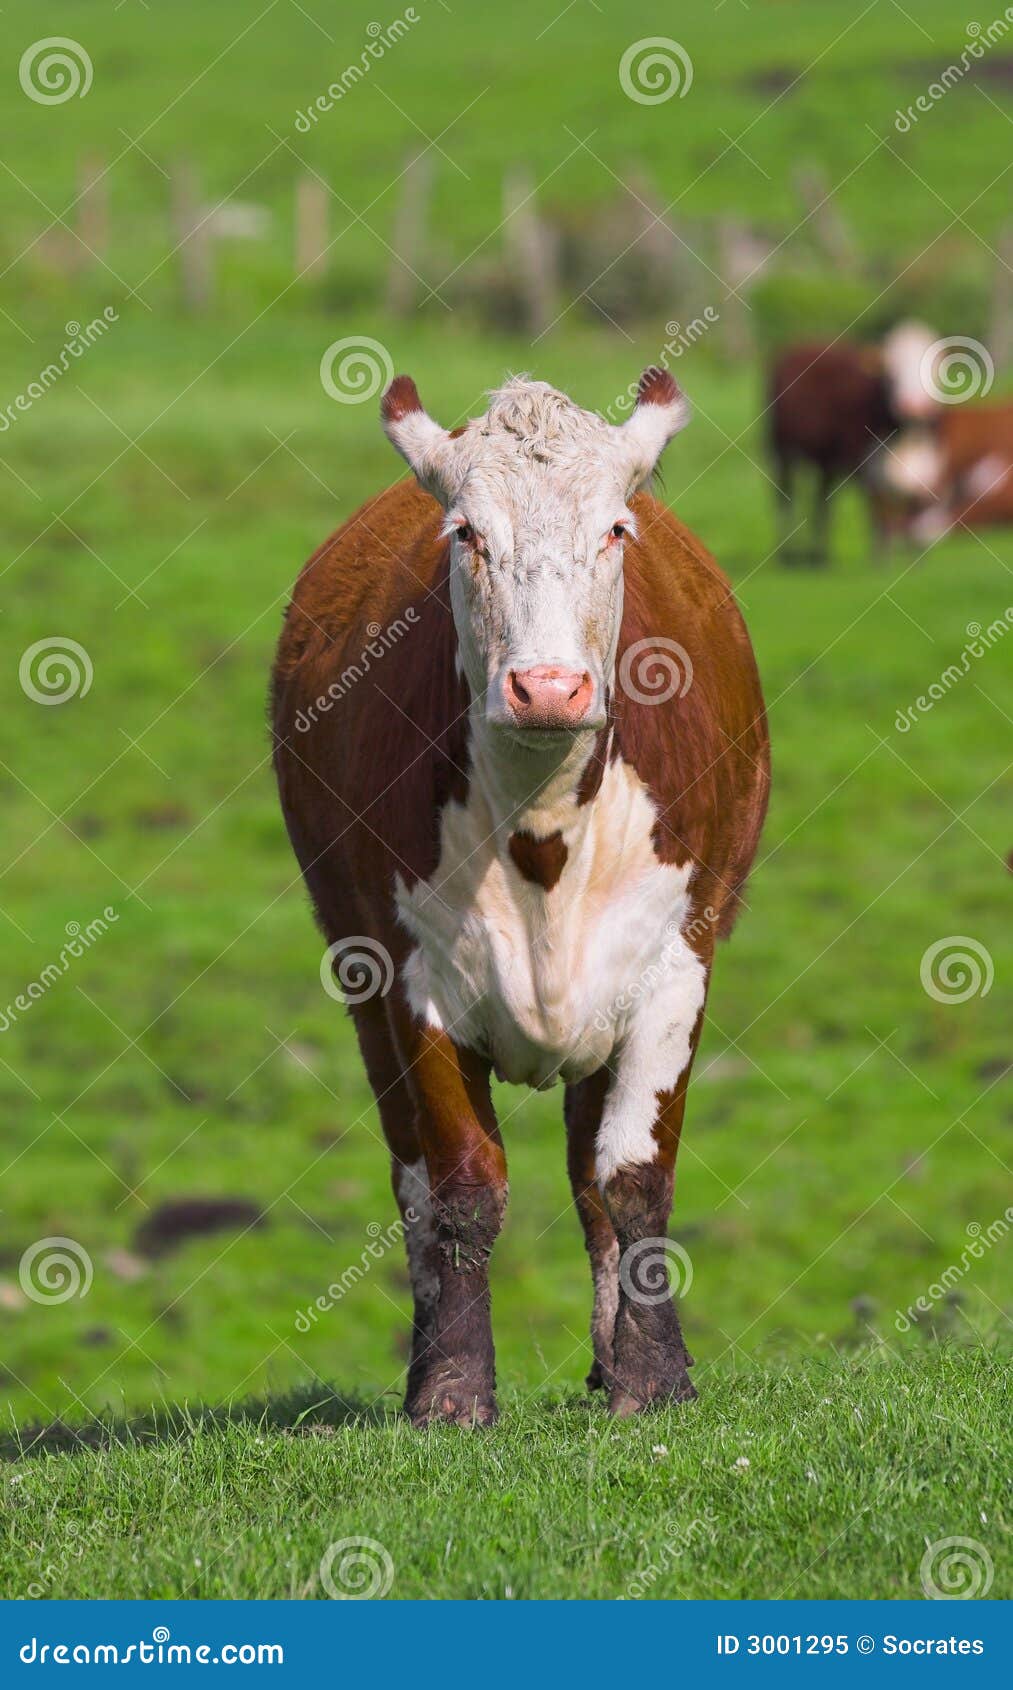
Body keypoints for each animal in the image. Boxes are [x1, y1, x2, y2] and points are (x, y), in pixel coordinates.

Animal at [271, 368, 770, 1425]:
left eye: (615, 530)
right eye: (466, 533)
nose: (547, 688)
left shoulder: (677, 964)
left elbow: (630, 1175)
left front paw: (652, 1378)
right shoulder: (409, 970)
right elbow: (461, 1187)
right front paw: (454, 1392)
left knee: (589, 1178)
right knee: (415, 1182)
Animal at [768, 321, 938, 564]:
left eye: (932, 367)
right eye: (892, 369)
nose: (914, 404)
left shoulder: (924, 472)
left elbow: (912, 515)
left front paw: (915, 559)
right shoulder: (869, 467)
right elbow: (880, 513)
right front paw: (881, 559)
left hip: (825, 459)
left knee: (822, 503)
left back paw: (820, 555)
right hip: (781, 450)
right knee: (785, 498)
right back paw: (786, 552)